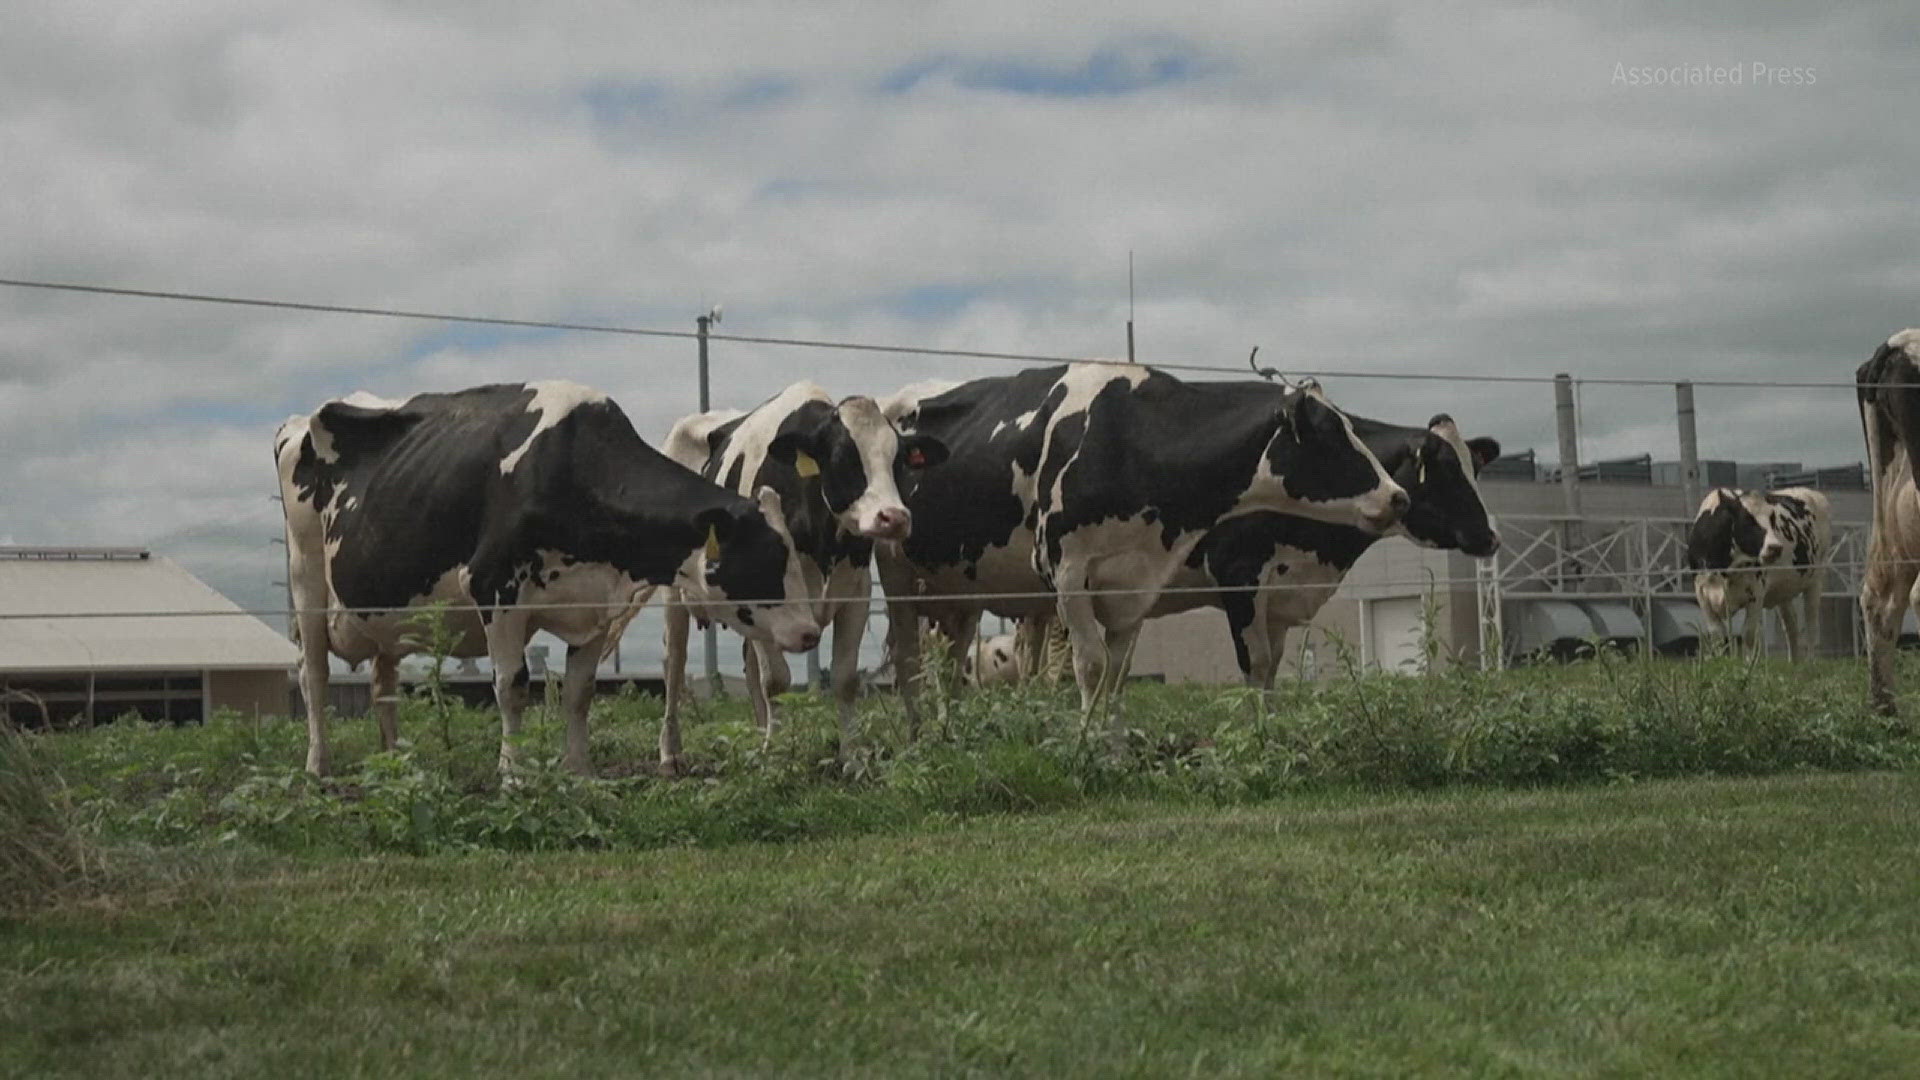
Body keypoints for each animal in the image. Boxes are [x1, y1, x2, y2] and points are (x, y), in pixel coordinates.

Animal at [274, 381, 822, 777]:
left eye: (794, 559)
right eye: (766, 558)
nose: (810, 631)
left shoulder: (597, 604)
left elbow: (579, 692)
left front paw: (580, 773)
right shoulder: (494, 588)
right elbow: (512, 685)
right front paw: (513, 775)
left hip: (382, 612)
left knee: (382, 684)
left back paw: (394, 761)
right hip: (306, 581)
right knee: (313, 677)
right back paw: (318, 769)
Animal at [658, 383, 947, 771]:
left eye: (898, 461)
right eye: (842, 458)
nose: (895, 517)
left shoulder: (854, 594)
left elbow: (843, 678)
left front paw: (851, 757)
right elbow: (776, 680)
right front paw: (778, 756)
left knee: (749, 667)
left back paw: (761, 735)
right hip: (672, 595)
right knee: (674, 662)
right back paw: (671, 752)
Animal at [878, 362, 1407, 731]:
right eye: (1330, 434)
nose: (1397, 496)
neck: (1127, 439)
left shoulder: (1135, 581)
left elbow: (1118, 673)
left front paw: (1115, 749)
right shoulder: (1067, 573)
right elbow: (1091, 667)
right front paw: (1086, 747)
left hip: (961, 589)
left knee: (951, 668)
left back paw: (951, 735)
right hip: (897, 576)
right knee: (910, 663)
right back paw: (919, 740)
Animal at [1684, 487, 1830, 660]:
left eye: (1773, 519)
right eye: (1748, 520)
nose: (1775, 548)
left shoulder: (1756, 594)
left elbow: (1748, 633)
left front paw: (1749, 662)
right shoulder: (1702, 594)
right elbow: (1718, 635)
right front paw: (1722, 660)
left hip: (1815, 581)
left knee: (1811, 624)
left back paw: (1810, 661)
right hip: (1783, 591)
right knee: (1791, 626)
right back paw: (1794, 663)